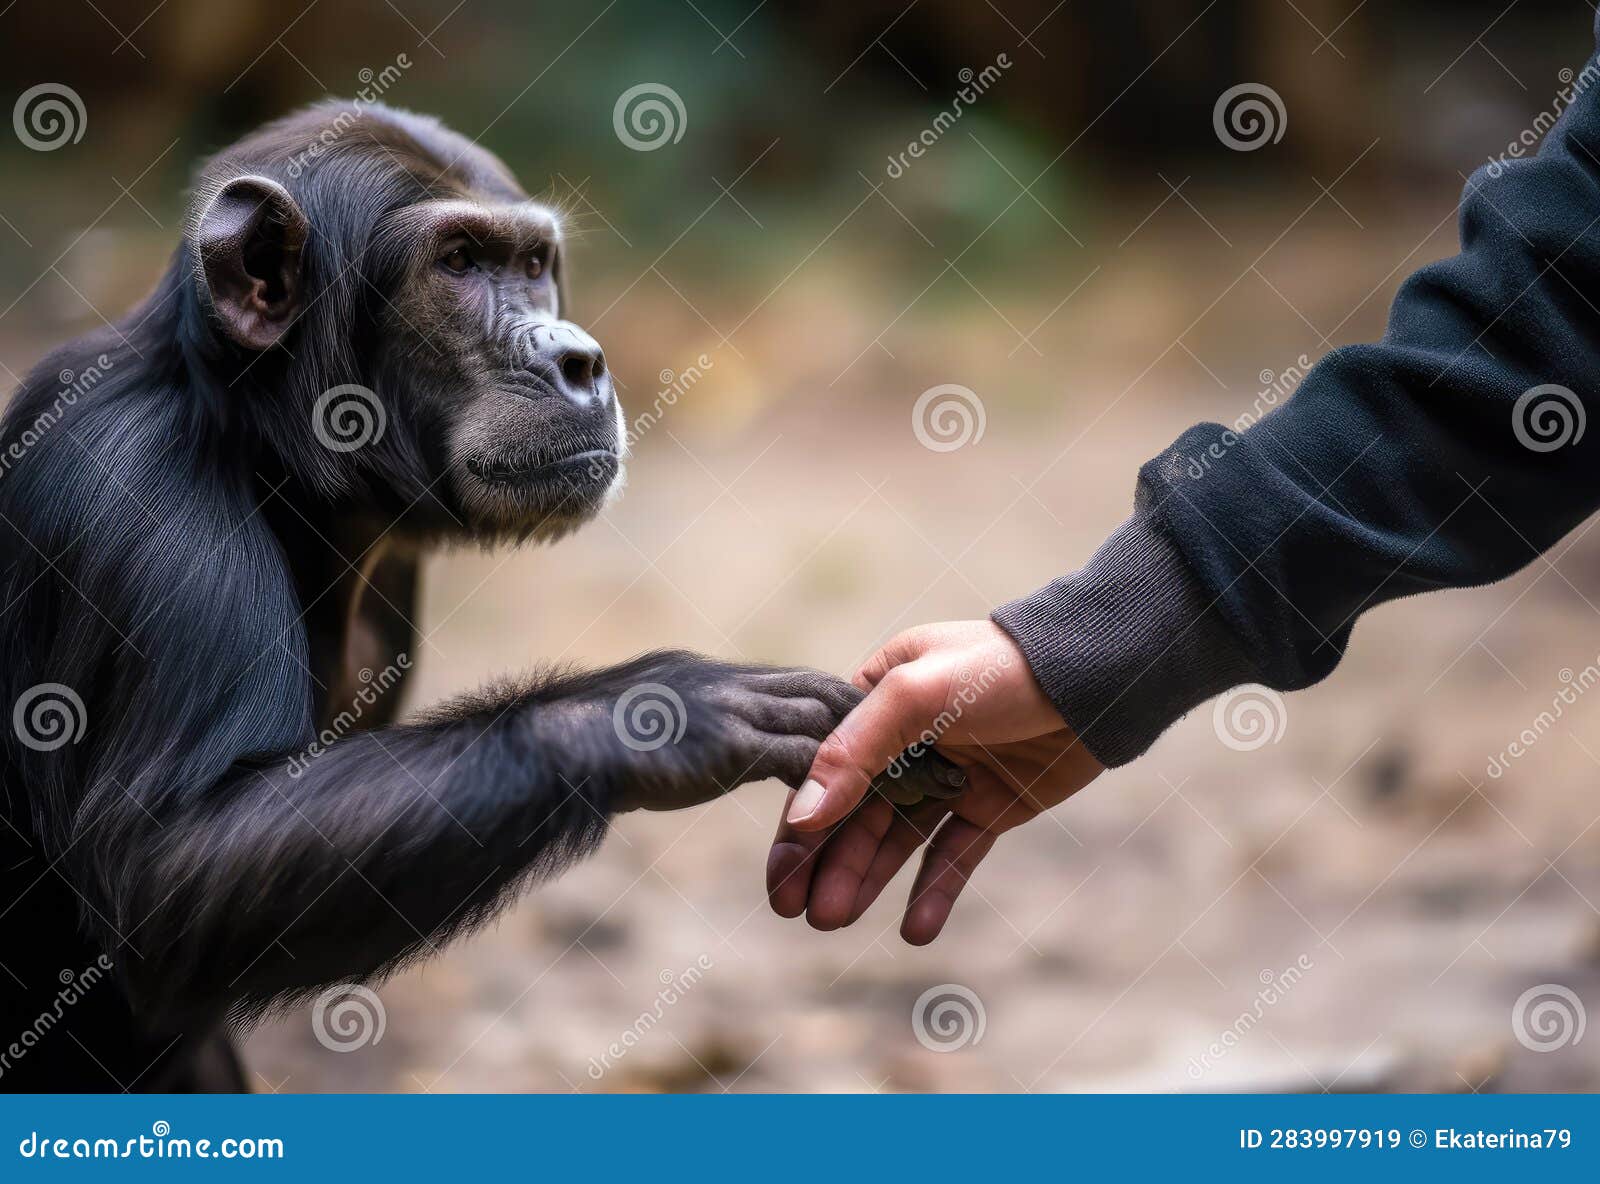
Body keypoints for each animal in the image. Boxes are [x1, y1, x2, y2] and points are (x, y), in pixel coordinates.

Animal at [0, 101, 960, 1092]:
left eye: (532, 266)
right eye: (457, 262)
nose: (581, 359)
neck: (263, 448)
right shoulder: (129, 493)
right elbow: (171, 867)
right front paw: (649, 708)